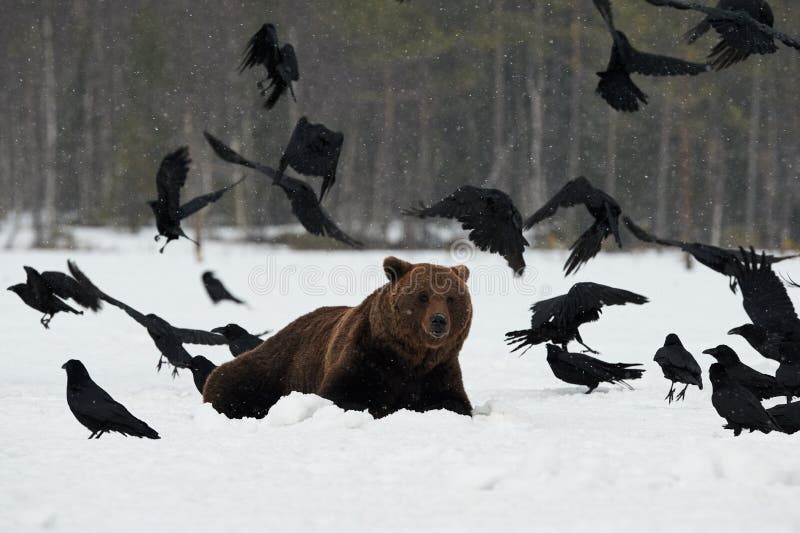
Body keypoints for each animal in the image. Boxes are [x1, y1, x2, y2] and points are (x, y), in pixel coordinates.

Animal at [202, 256, 473, 419]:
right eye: (423, 296)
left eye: (451, 298)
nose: (439, 320)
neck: (409, 356)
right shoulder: (365, 356)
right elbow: (342, 396)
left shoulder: (438, 368)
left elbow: (453, 402)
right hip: (275, 368)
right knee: (231, 379)